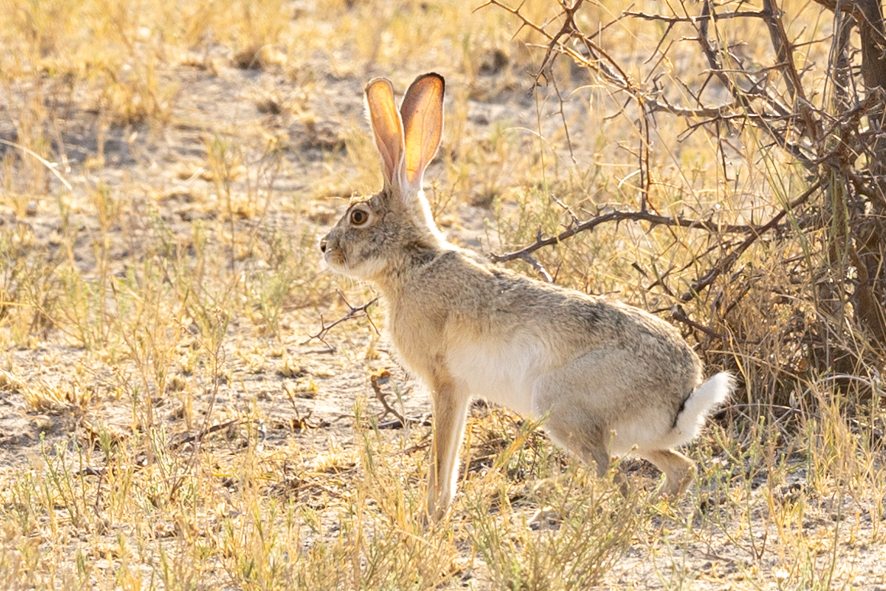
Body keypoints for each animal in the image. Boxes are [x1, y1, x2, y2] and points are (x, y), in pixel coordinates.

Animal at [320, 72, 733, 518]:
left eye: (358, 216)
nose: (324, 247)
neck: (413, 262)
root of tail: (681, 396)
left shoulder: (446, 383)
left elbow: (441, 457)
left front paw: (429, 515)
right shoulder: (461, 390)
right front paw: (437, 512)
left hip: (560, 406)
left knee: (617, 481)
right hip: (633, 438)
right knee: (680, 469)